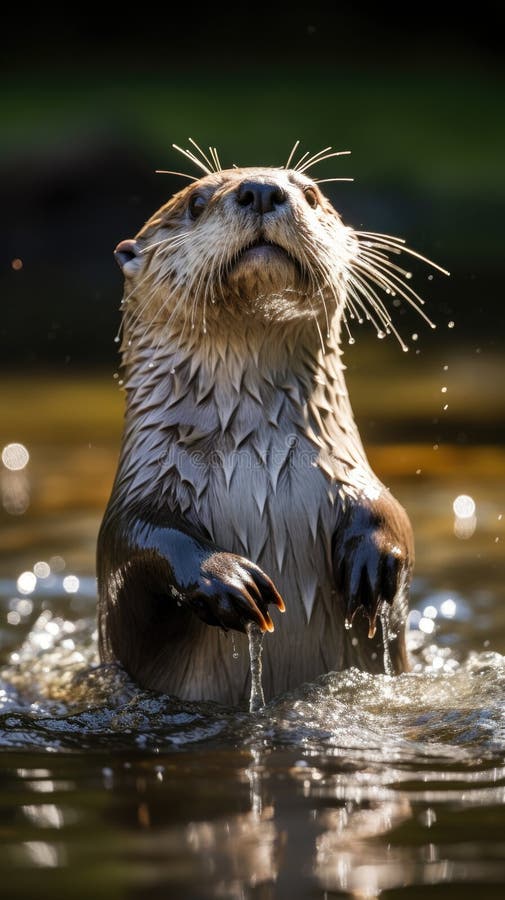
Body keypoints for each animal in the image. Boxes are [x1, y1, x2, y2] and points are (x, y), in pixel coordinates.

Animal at [97, 143, 446, 705]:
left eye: (312, 194)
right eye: (196, 201)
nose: (262, 189)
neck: (255, 451)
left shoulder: (345, 462)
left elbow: (392, 509)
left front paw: (374, 560)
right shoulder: (138, 492)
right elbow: (135, 546)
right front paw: (226, 578)